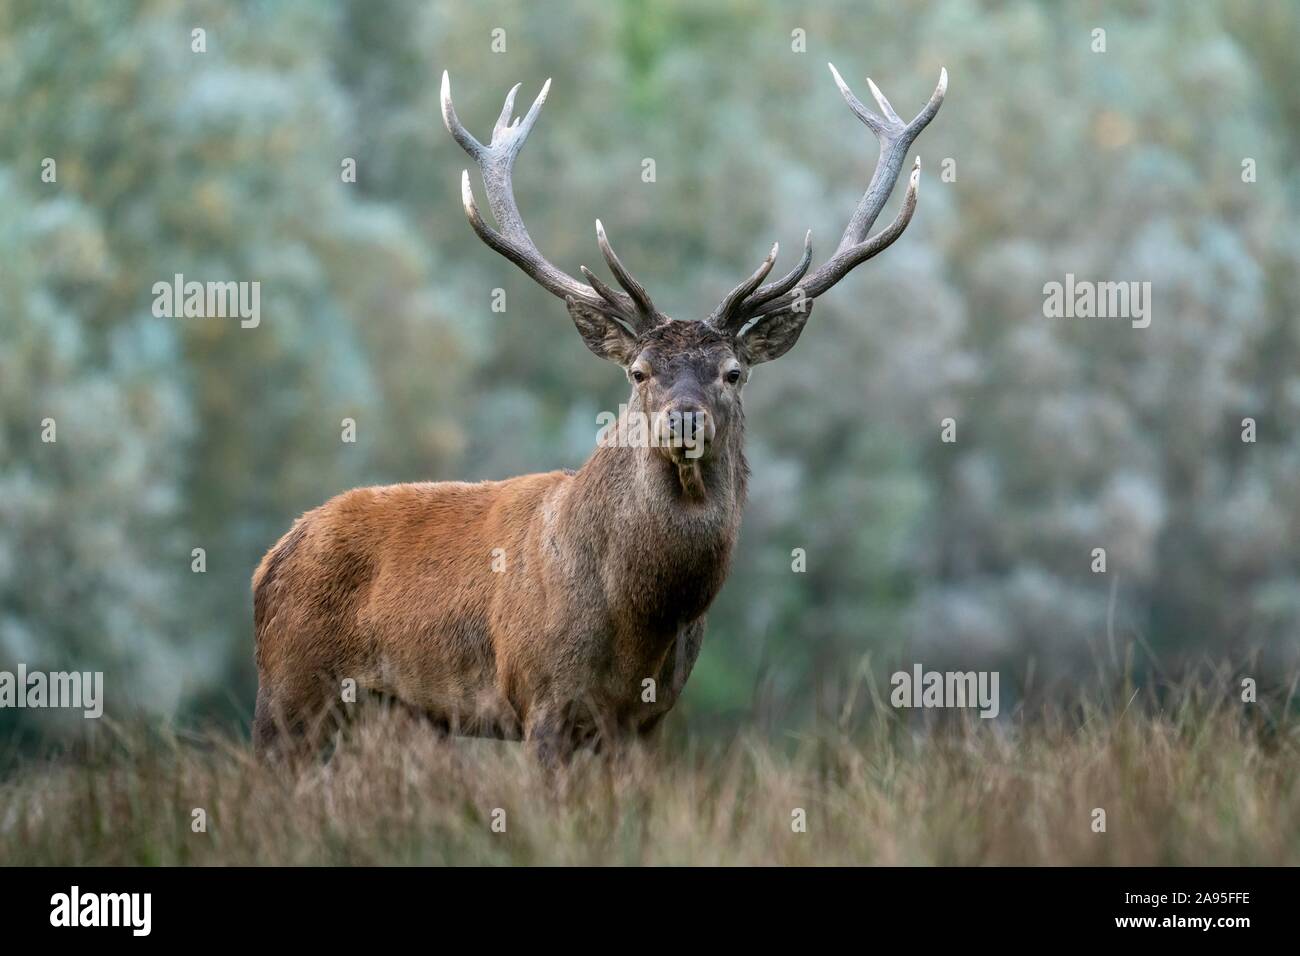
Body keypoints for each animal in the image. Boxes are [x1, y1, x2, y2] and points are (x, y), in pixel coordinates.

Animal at [251, 63, 946, 762]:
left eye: (734, 372)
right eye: (639, 373)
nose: (684, 420)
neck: (640, 625)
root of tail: (271, 559)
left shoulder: (646, 720)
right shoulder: (541, 697)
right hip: (289, 693)